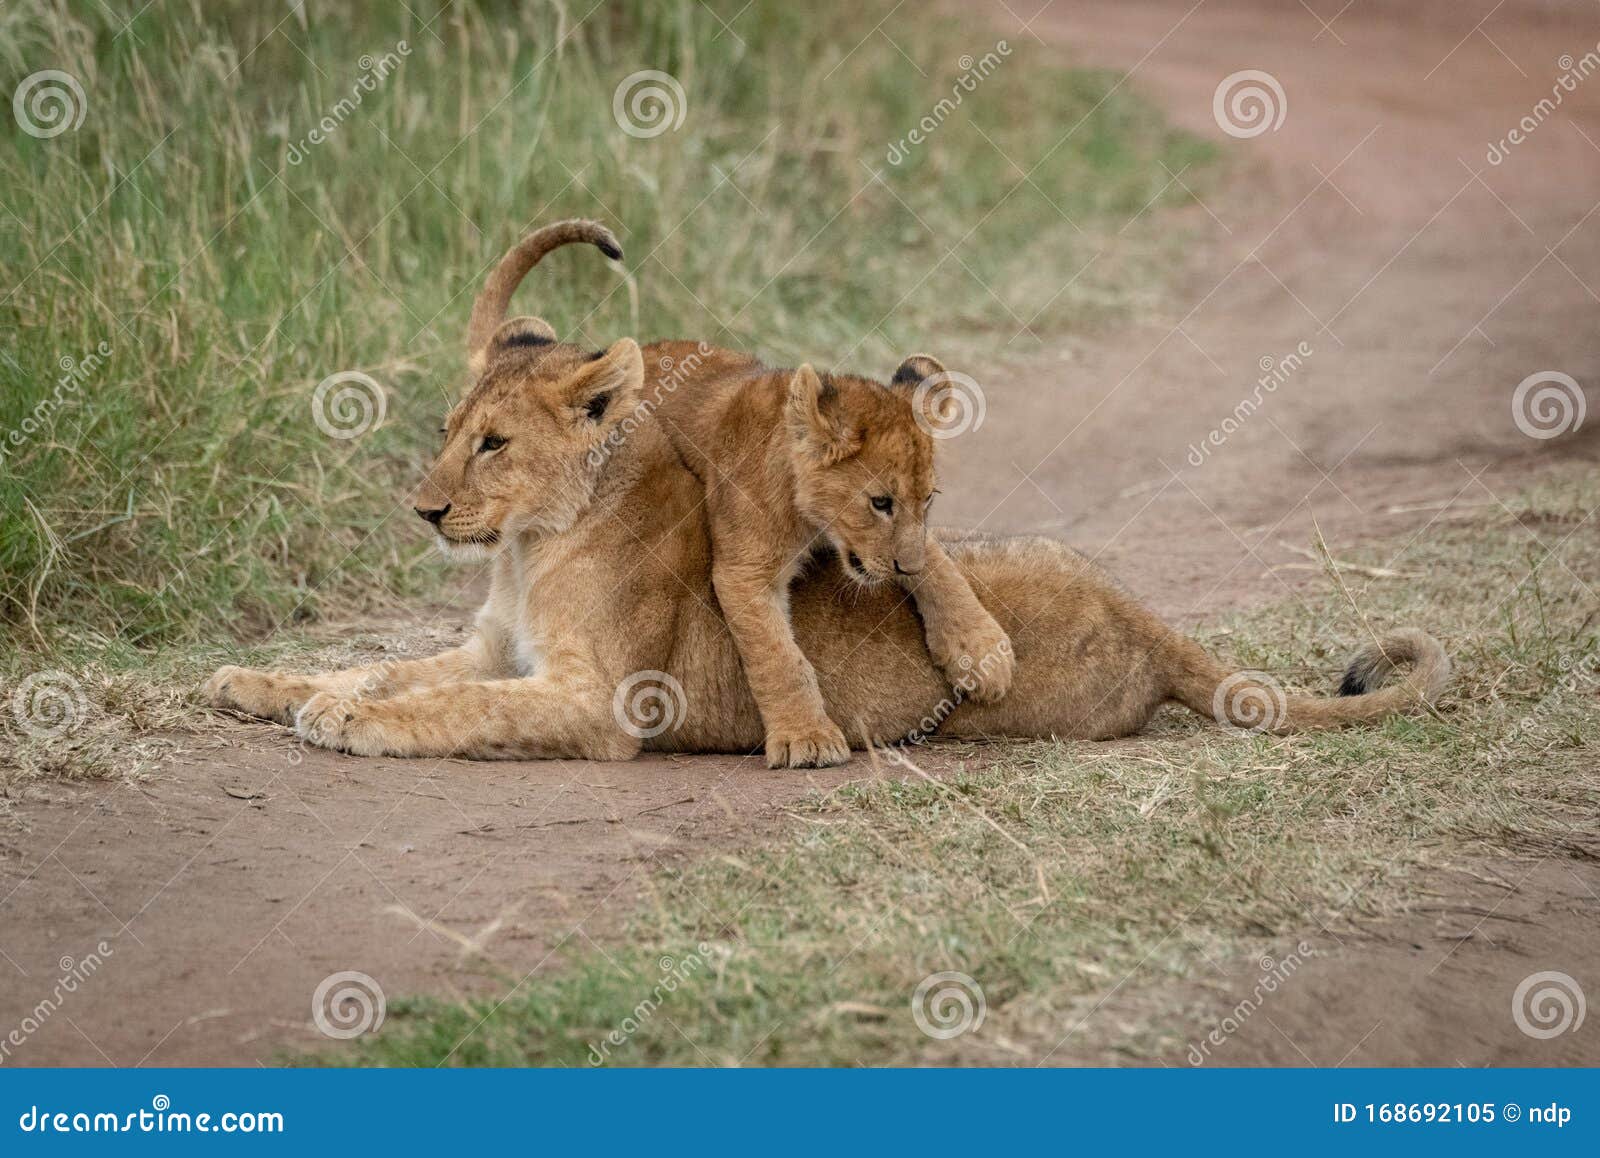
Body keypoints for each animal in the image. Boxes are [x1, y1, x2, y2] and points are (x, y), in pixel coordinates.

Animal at [205, 221, 1449, 761]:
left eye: (495, 445)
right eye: (448, 436)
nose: (424, 511)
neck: (526, 546)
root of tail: (1136, 617)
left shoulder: (602, 701)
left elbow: (456, 707)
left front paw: (353, 722)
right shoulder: (491, 646)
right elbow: (384, 663)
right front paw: (263, 685)